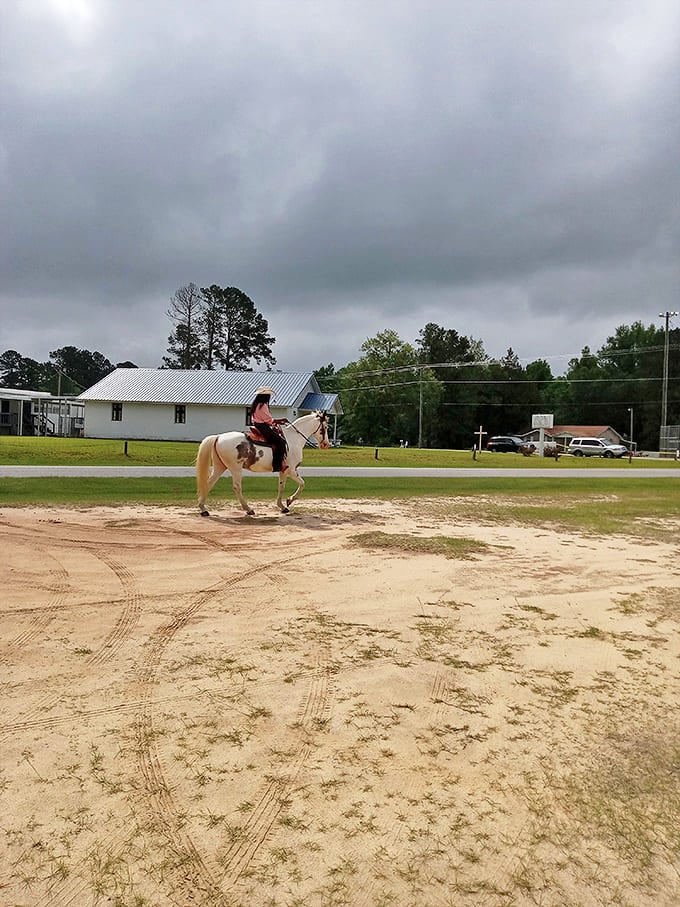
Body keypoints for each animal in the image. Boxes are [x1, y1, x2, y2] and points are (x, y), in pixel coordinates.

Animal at [196, 410, 330, 516]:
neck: (293, 439)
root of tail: (218, 437)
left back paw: (203, 509)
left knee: (209, 483)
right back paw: (248, 509)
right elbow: (302, 484)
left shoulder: (284, 471)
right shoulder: (292, 470)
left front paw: (282, 506)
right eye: (325, 427)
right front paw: (290, 500)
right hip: (235, 468)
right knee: (237, 487)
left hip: (220, 466)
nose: (326, 444)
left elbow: (281, 487)